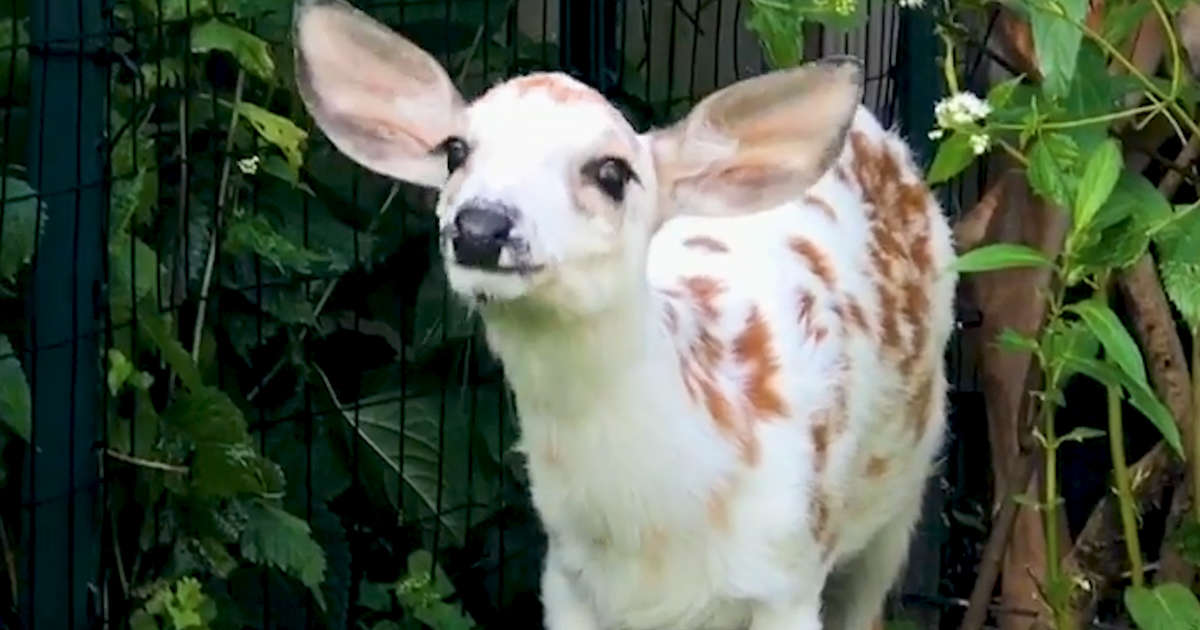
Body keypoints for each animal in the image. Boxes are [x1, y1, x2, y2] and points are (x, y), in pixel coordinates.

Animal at [293, 1, 957, 628]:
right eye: (456, 152)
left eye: (612, 171)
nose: (481, 226)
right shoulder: (567, 575)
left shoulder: (788, 572)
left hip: (903, 490)